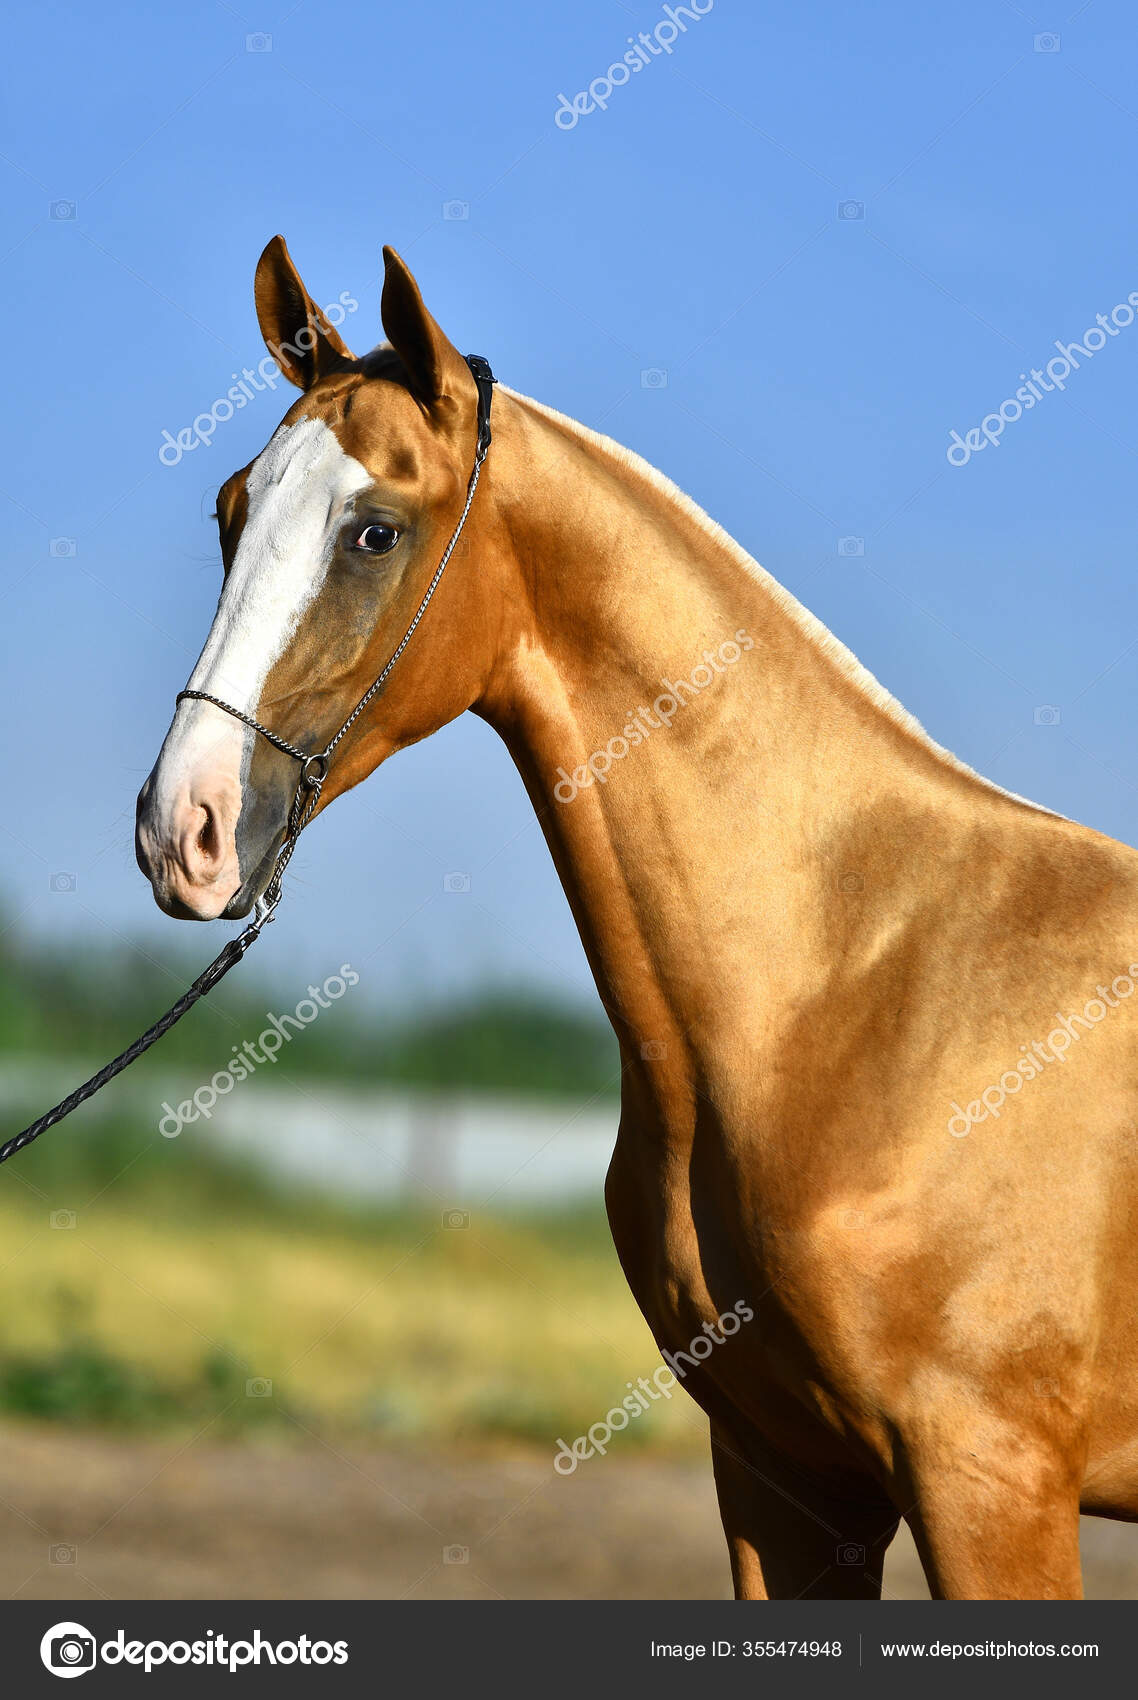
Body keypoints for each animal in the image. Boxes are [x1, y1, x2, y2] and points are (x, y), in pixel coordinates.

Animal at [135, 235, 1138, 1601]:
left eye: (374, 530)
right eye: (230, 510)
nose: (181, 826)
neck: (862, 985)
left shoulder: (989, 1485)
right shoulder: (784, 1478)